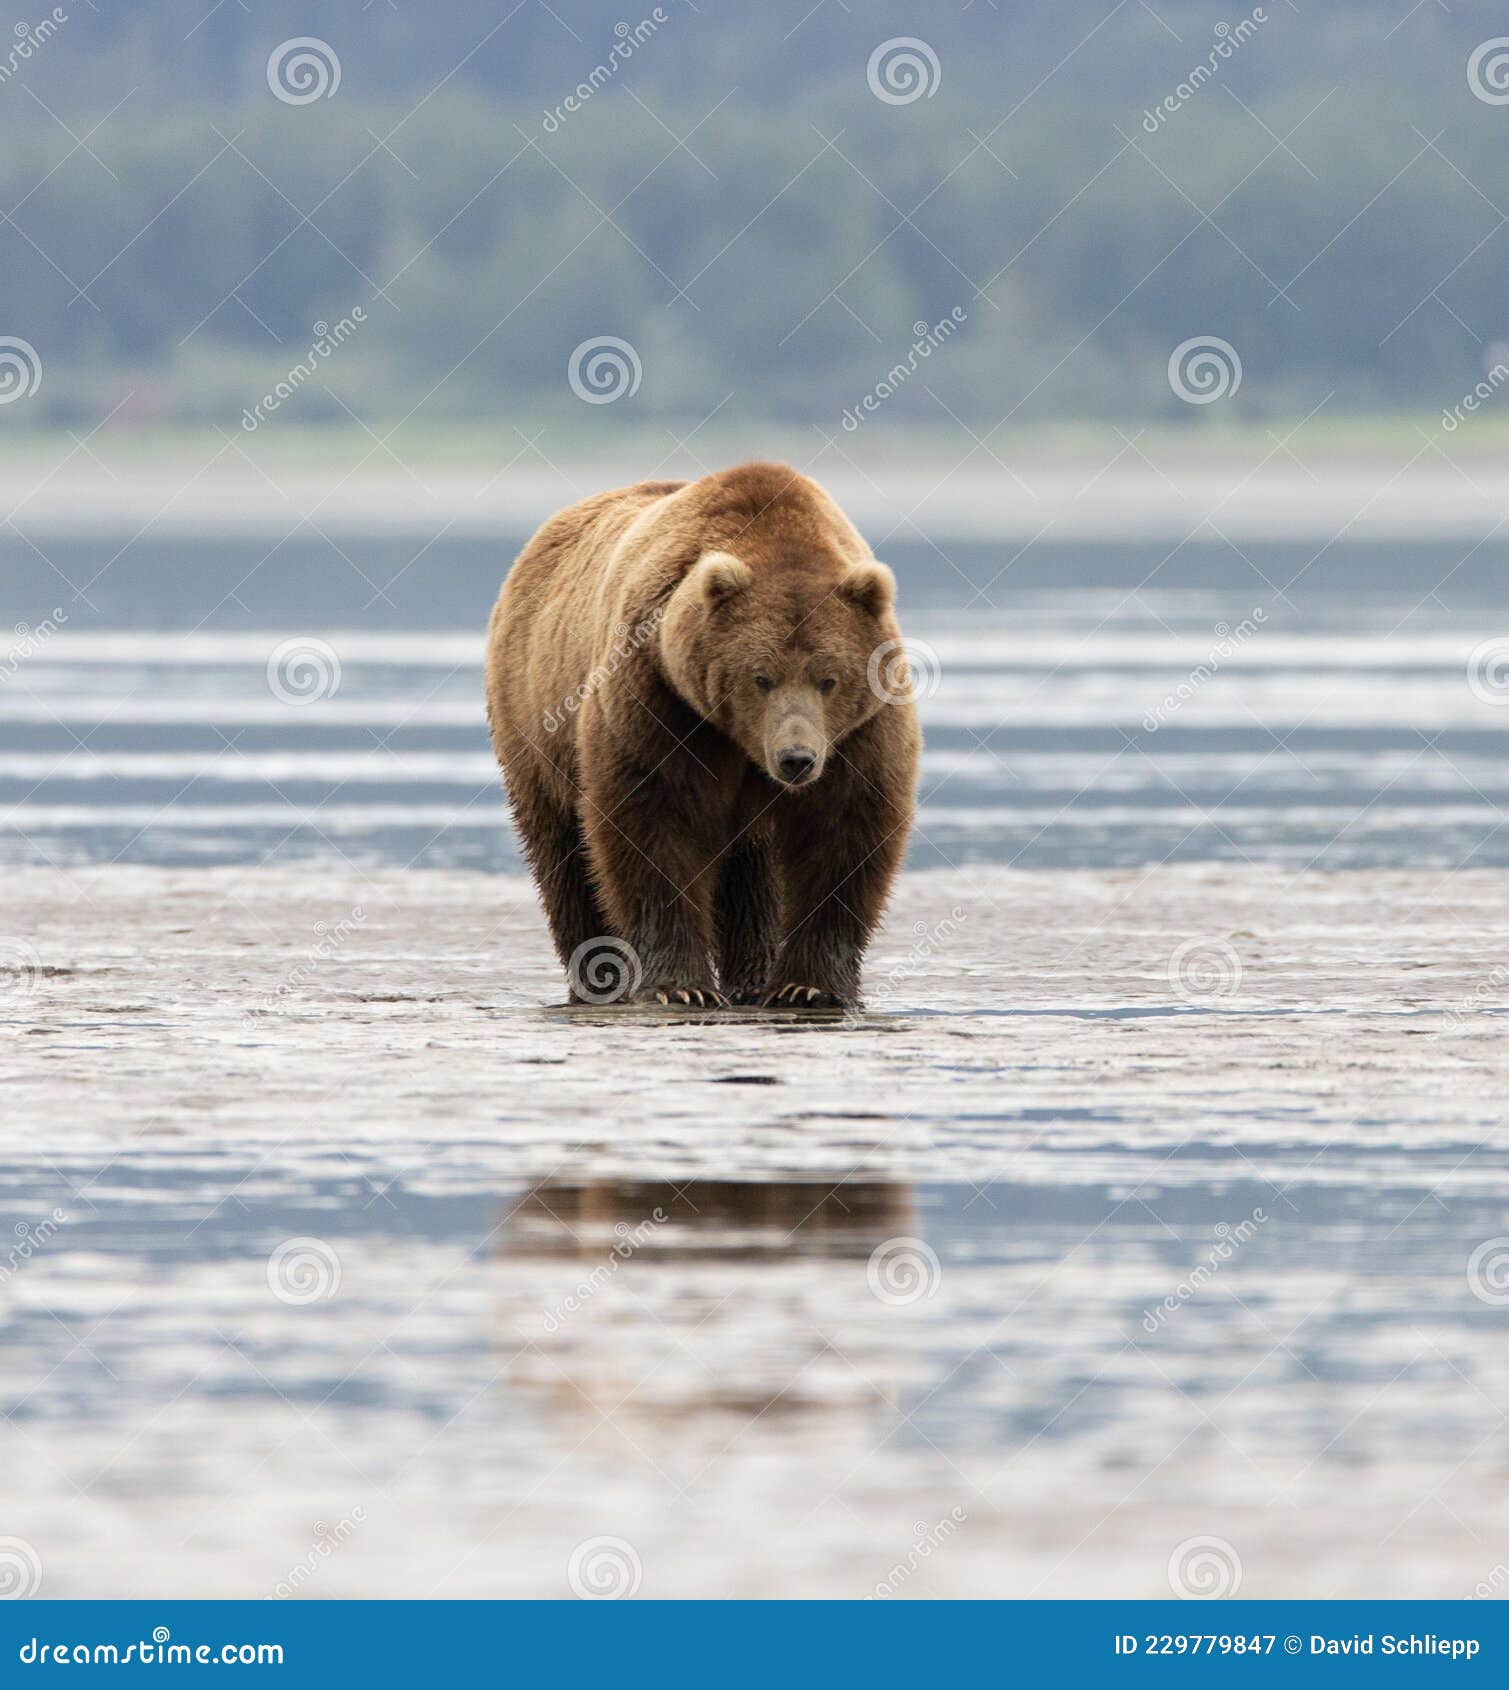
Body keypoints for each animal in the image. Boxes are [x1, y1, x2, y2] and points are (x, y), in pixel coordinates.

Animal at [485, 461, 921, 1009]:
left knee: (752, 872)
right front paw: (681, 986)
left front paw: (809, 986)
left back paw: (753, 978)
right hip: (534, 720)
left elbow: (845, 832)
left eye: (829, 679)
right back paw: (598, 975)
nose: (796, 758)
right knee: (564, 853)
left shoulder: (859, 732)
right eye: (761, 677)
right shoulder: (661, 700)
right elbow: (655, 825)